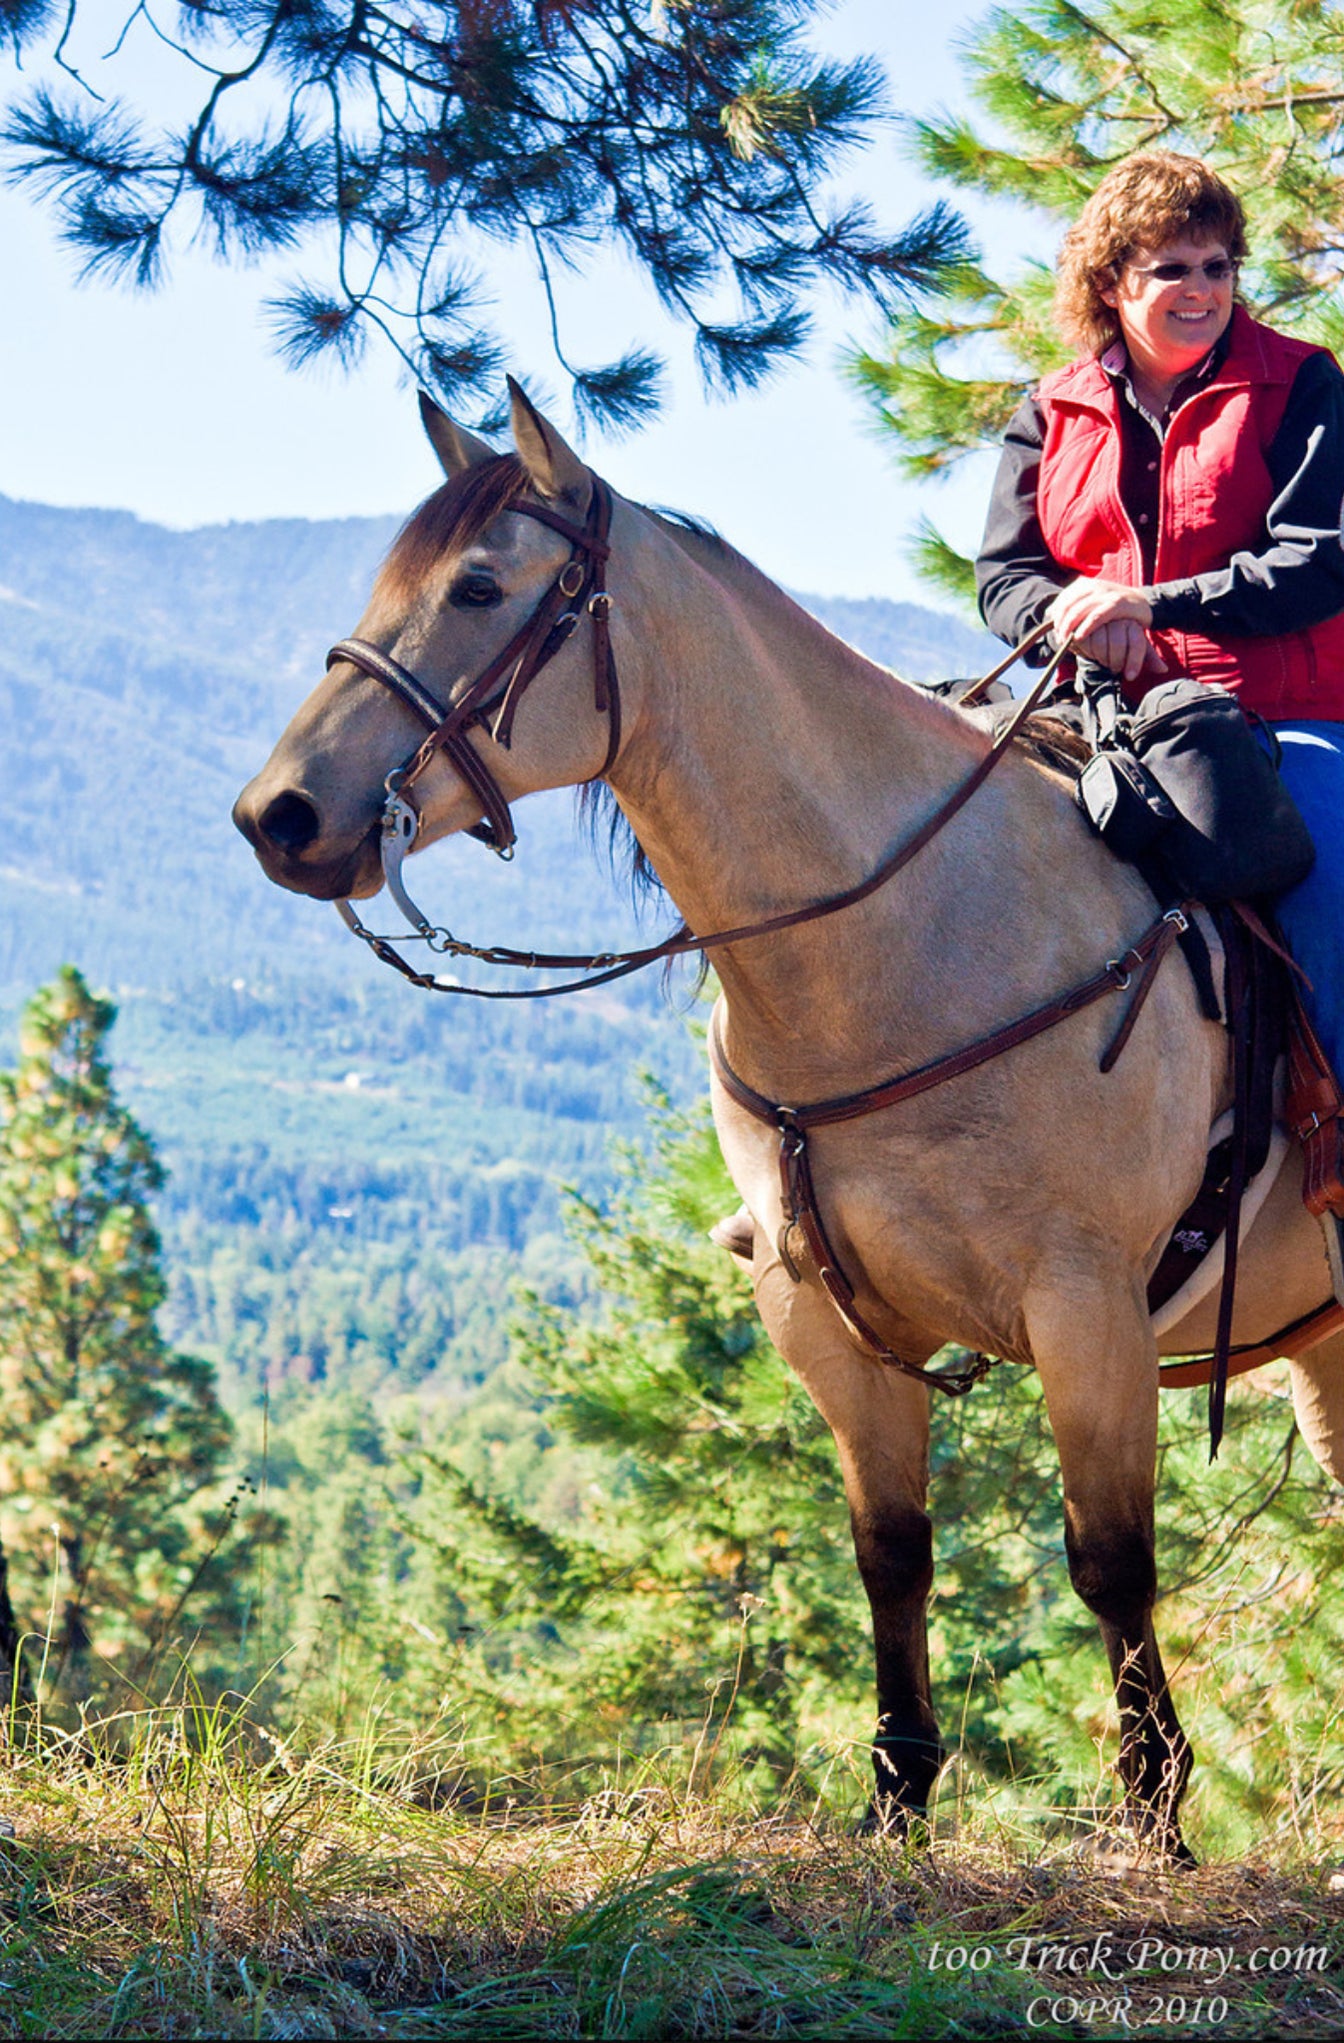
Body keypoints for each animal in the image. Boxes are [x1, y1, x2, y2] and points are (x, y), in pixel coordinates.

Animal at [233, 381, 1344, 1858]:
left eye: (476, 585)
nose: (277, 814)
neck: (908, 939)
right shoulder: (826, 1319)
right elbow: (892, 1555)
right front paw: (897, 1804)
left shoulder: (1087, 1306)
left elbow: (1110, 1562)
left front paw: (1159, 1826)